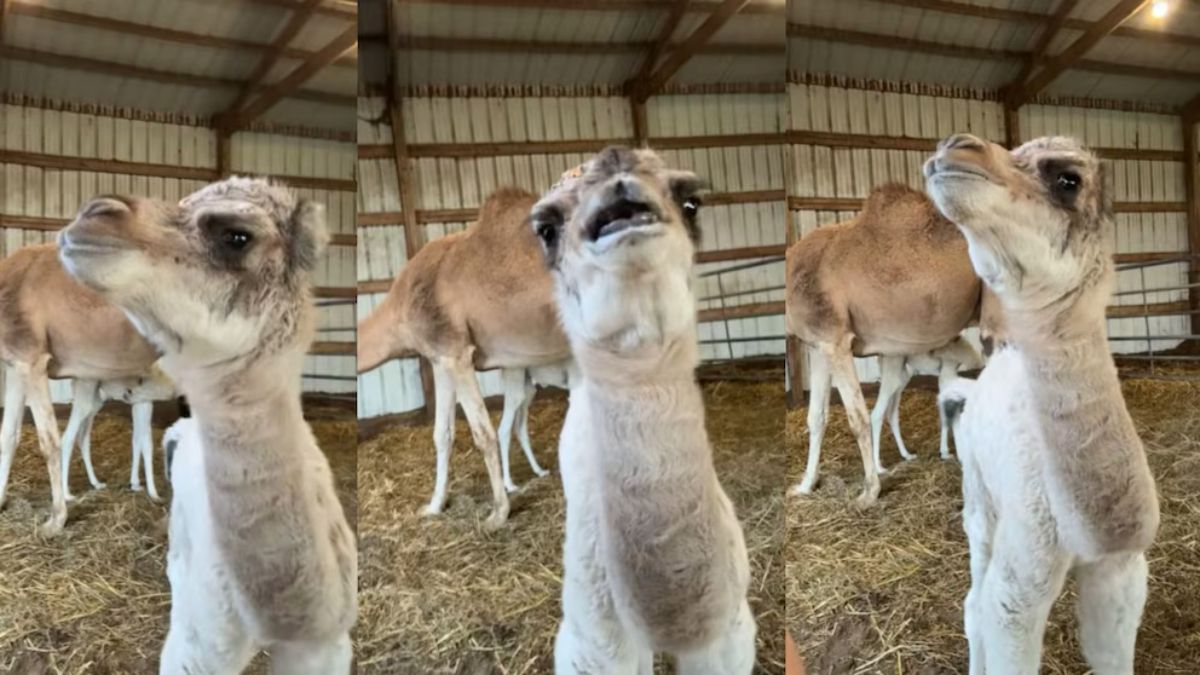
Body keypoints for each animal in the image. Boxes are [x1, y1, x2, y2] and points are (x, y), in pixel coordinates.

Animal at [61, 361, 177, 502]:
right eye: (140, 380)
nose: (127, 393)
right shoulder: (144, 400)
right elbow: (147, 443)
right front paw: (154, 494)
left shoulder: (140, 401)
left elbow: (137, 440)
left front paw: (135, 484)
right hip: (85, 392)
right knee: (67, 437)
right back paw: (67, 494)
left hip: (95, 400)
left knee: (83, 437)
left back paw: (96, 483)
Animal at [358, 187, 571, 528]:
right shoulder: (438, 358)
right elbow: (442, 434)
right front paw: (433, 506)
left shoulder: (457, 353)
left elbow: (483, 433)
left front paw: (498, 514)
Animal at [870, 336, 983, 473]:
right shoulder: (947, 369)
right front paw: (949, 454)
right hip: (892, 371)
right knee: (876, 414)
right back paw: (879, 468)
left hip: (902, 375)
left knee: (891, 413)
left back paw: (907, 455)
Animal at [928, 134, 1159, 673]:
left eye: (1067, 179)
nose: (955, 148)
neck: (1086, 531)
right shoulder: (1019, 589)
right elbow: (996, 616)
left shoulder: (1123, 568)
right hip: (980, 497)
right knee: (973, 601)